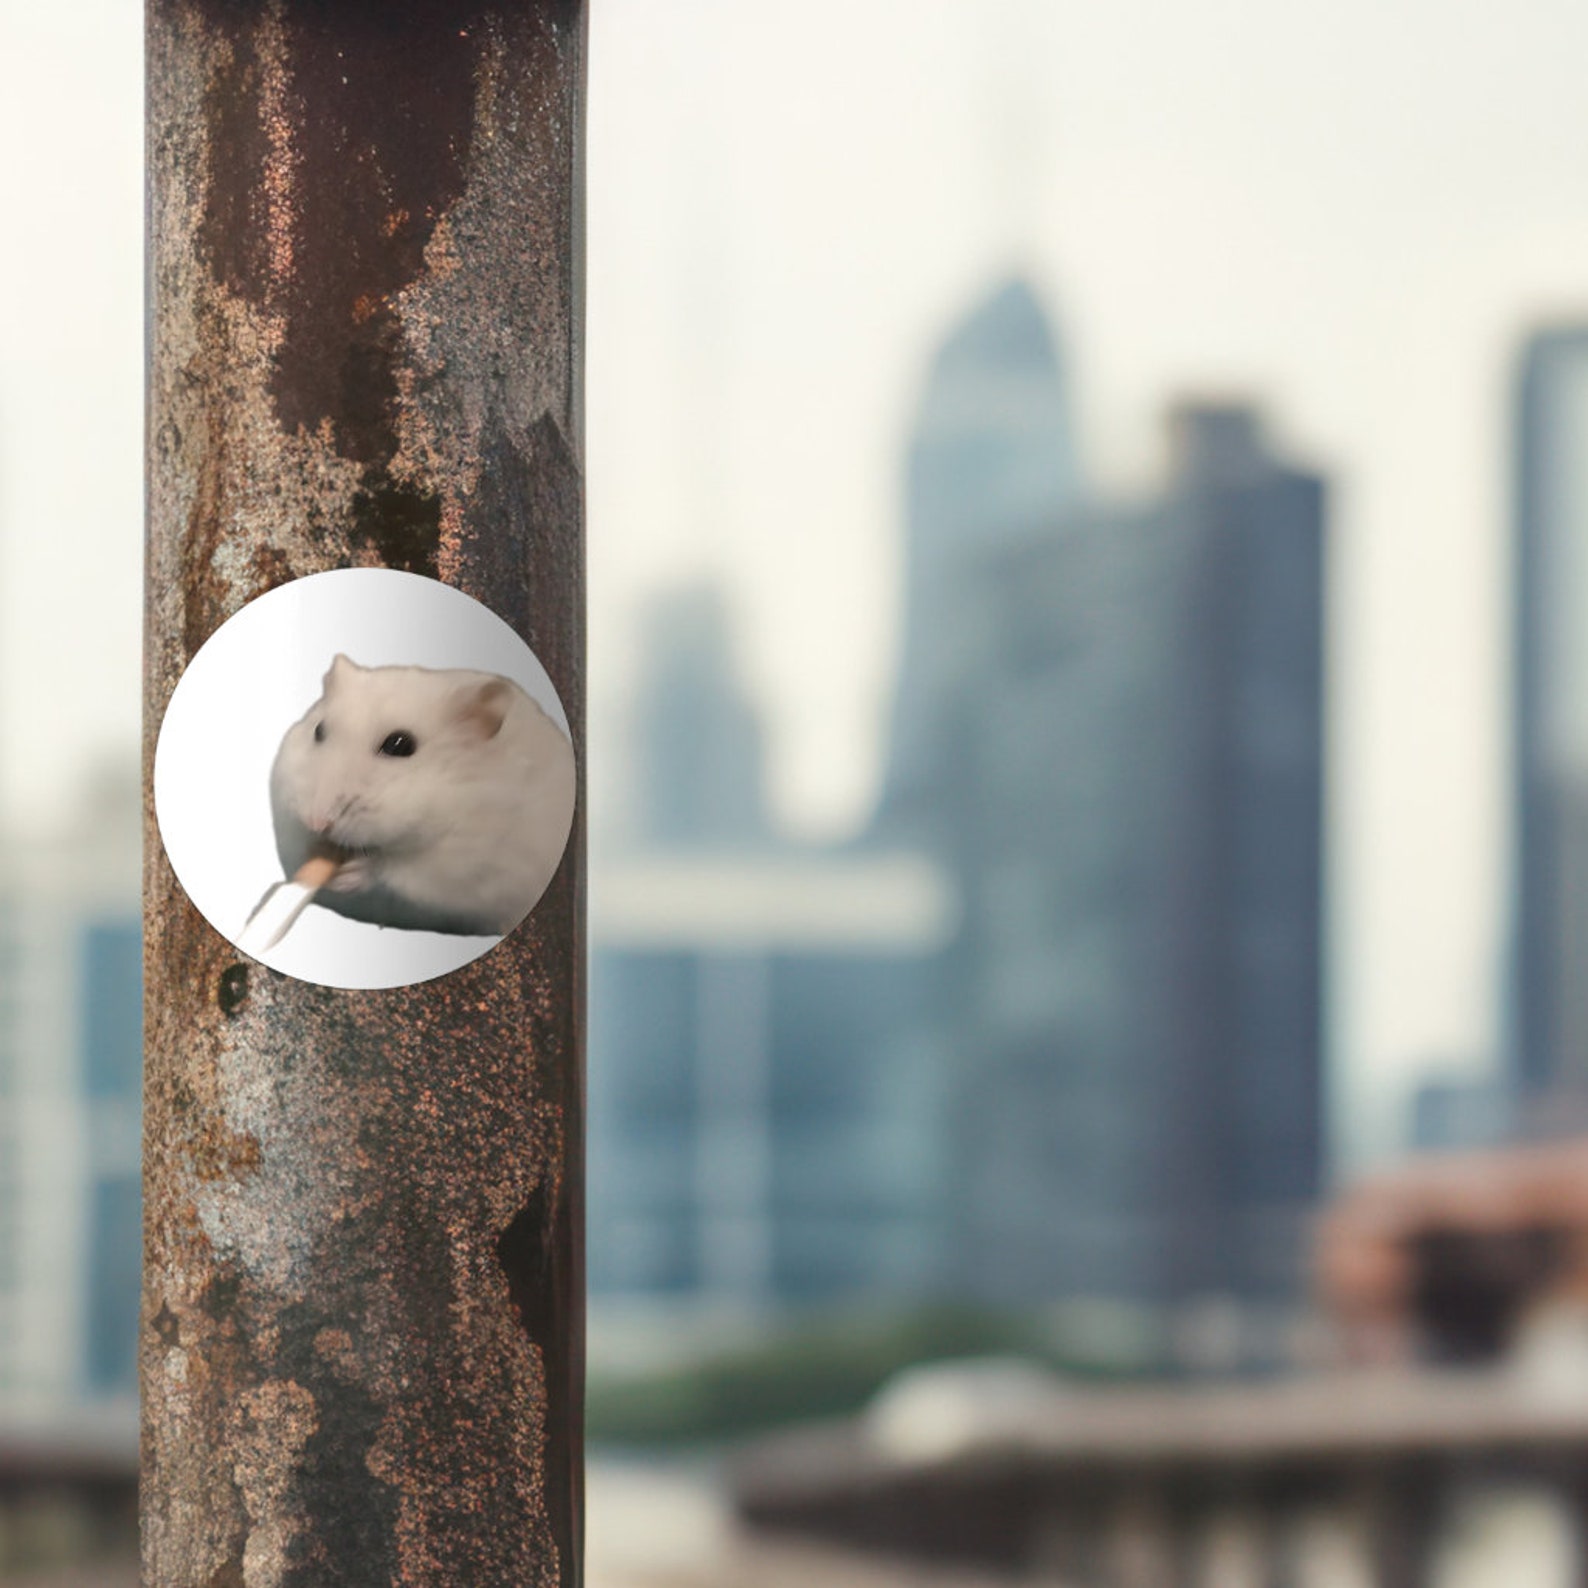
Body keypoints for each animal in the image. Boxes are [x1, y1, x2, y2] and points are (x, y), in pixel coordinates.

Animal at [270, 654, 576, 936]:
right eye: (318, 730)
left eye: (399, 745)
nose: (317, 822)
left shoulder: (463, 863)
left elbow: (398, 870)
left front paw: (348, 875)